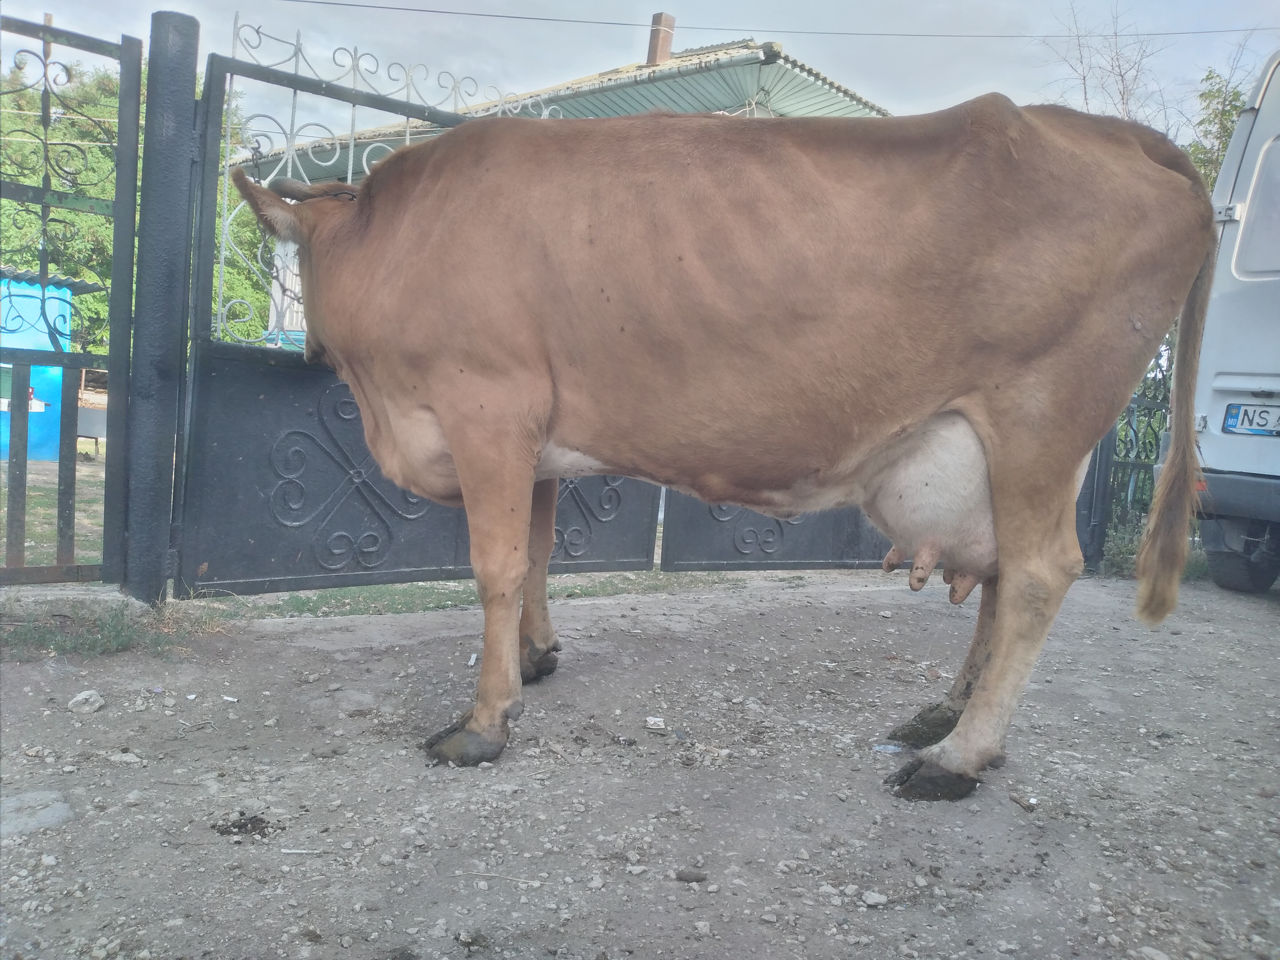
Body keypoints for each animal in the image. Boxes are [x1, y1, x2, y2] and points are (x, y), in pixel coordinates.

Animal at [233, 94, 1214, 800]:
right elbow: (541, 553)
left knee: (1043, 572)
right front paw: (537, 657)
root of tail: (1116, 132)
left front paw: (484, 721)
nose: (304, 345)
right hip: (1021, 448)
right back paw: (942, 717)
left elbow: (497, 567)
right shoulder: (537, 435)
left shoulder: (488, 406)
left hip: (1039, 416)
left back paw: (957, 759)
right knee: (1006, 574)